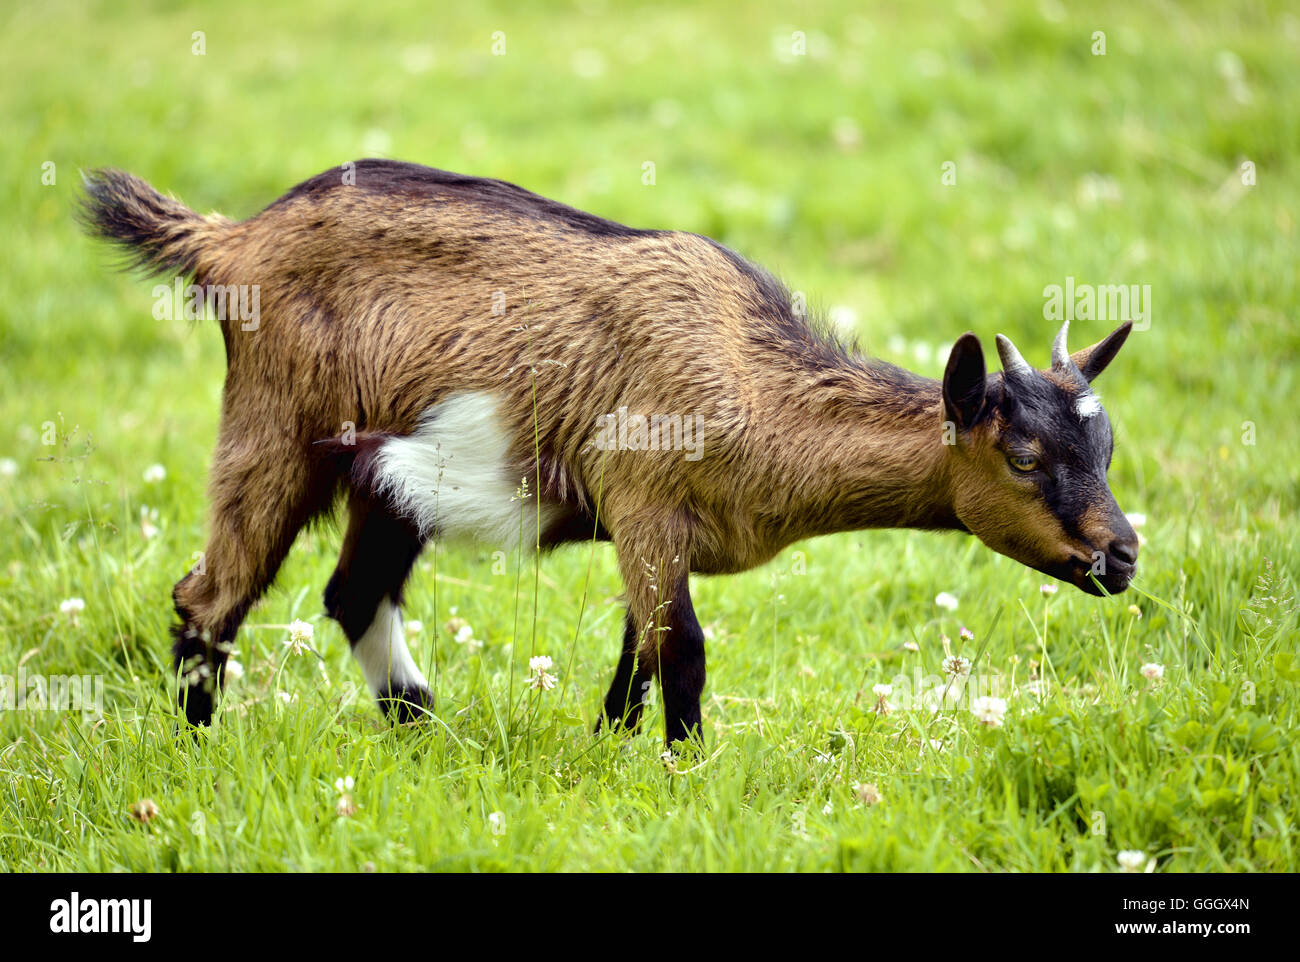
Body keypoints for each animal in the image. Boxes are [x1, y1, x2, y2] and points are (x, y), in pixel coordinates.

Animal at [80, 159, 1139, 746]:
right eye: (1024, 457)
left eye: (1106, 444)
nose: (1122, 555)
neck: (751, 378)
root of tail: (229, 242)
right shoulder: (644, 504)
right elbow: (684, 654)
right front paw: (687, 774)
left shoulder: (654, 534)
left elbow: (636, 657)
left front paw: (608, 752)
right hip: (275, 429)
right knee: (210, 598)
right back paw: (200, 756)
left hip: (389, 472)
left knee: (353, 591)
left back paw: (425, 732)